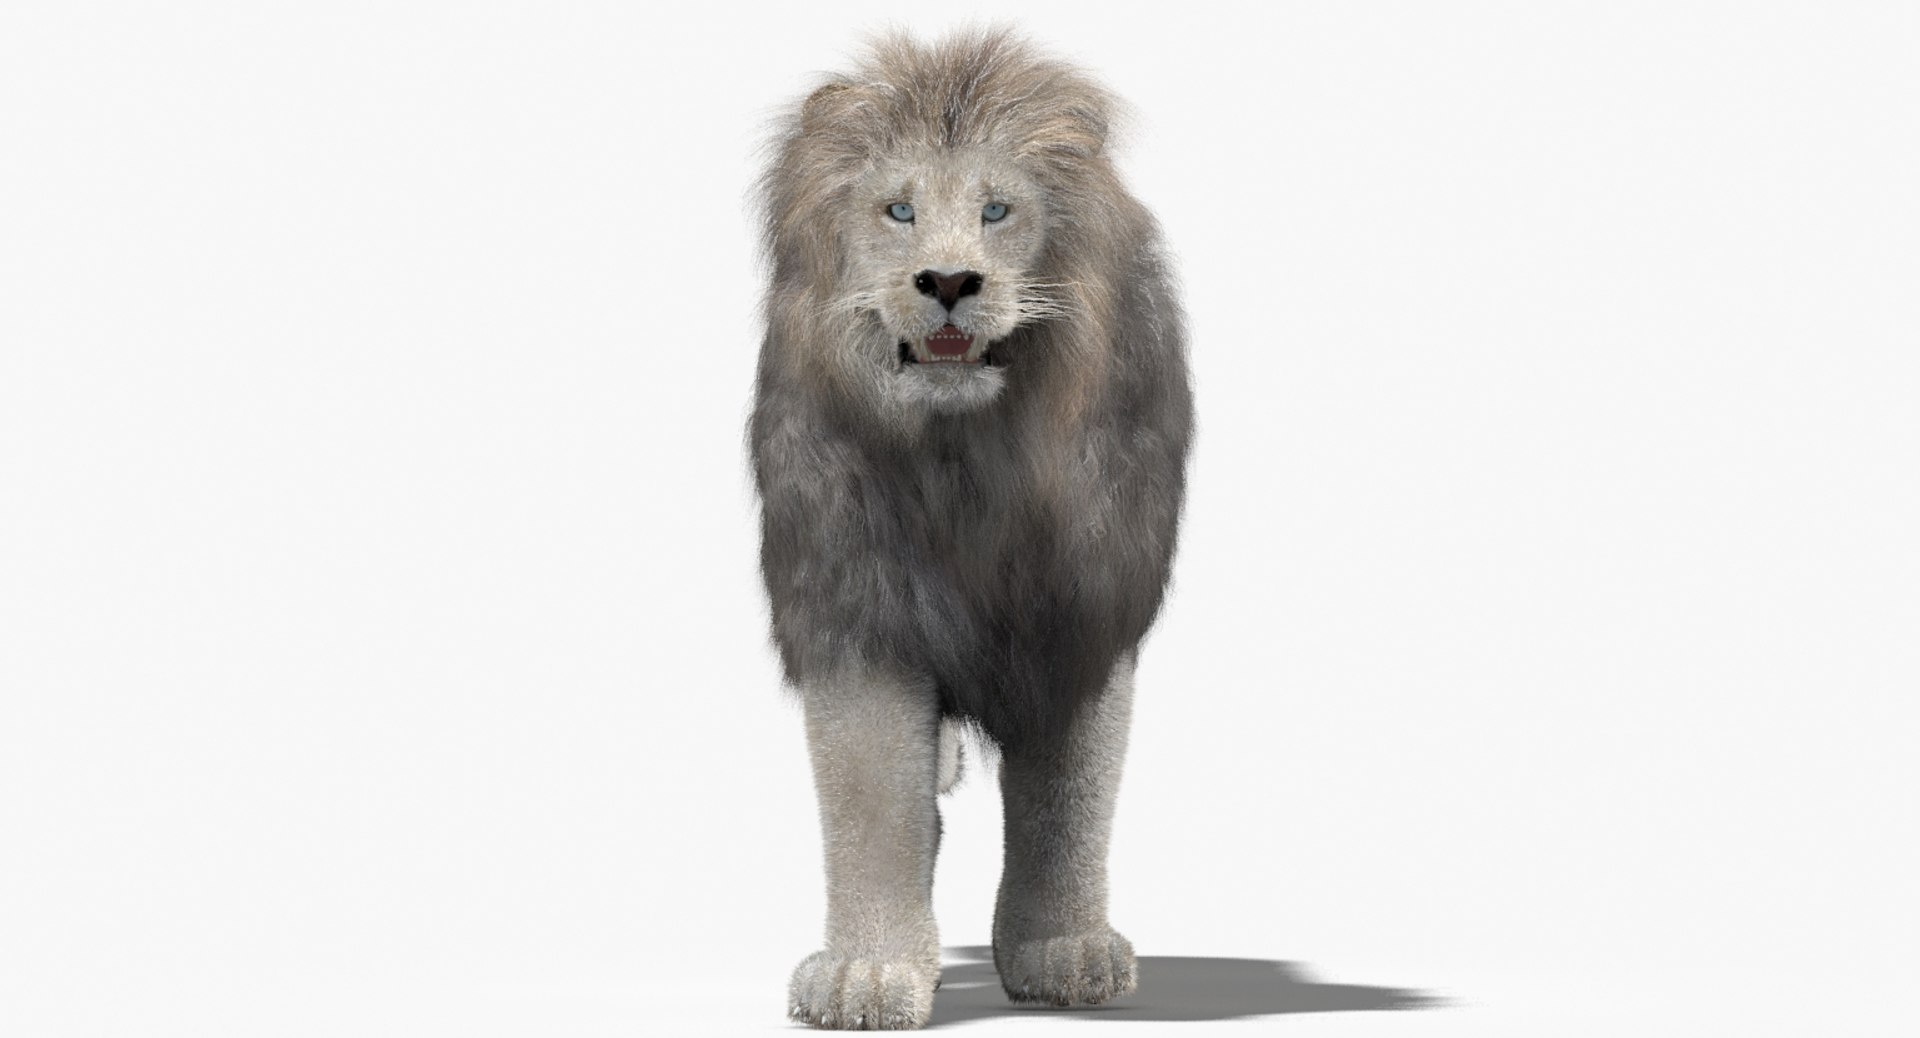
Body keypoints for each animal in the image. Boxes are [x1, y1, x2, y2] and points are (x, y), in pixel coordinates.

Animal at [748, 27, 1193, 1030]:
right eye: (899, 210)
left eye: (996, 210)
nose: (950, 281)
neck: (966, 463)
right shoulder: (857, 609)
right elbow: (873, 801)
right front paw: (868, 973)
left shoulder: (1082, 615)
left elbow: (1068, 803)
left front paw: (1061, 951)